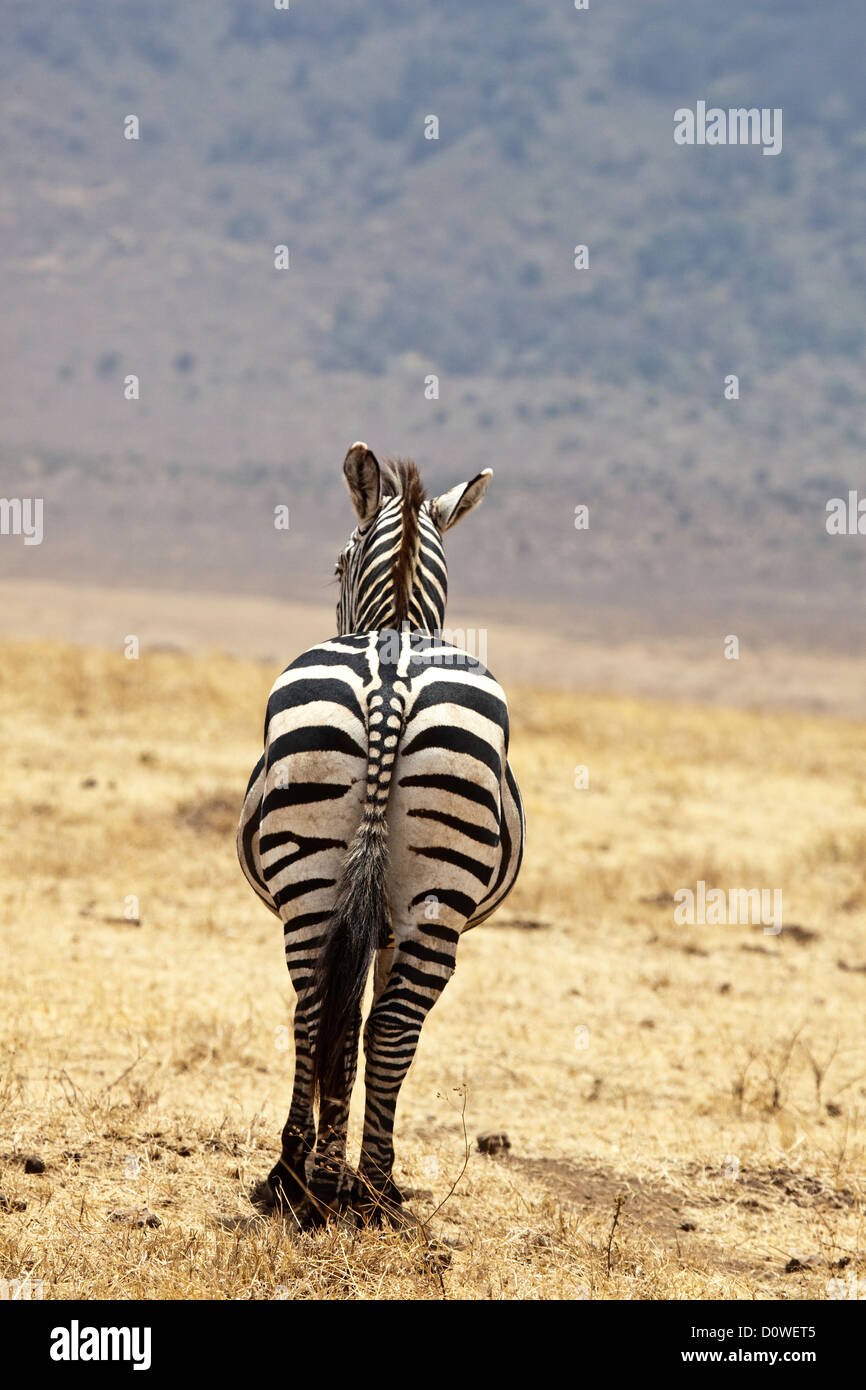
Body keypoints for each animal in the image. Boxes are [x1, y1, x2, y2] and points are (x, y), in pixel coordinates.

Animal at [237, 442, 525, 1224]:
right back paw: (365, 1191)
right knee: (379, 1025)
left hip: (322, 884)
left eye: (337, 565)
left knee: (320, 1014)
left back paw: (305, 1181)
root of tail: (391, 673)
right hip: (425, 898)